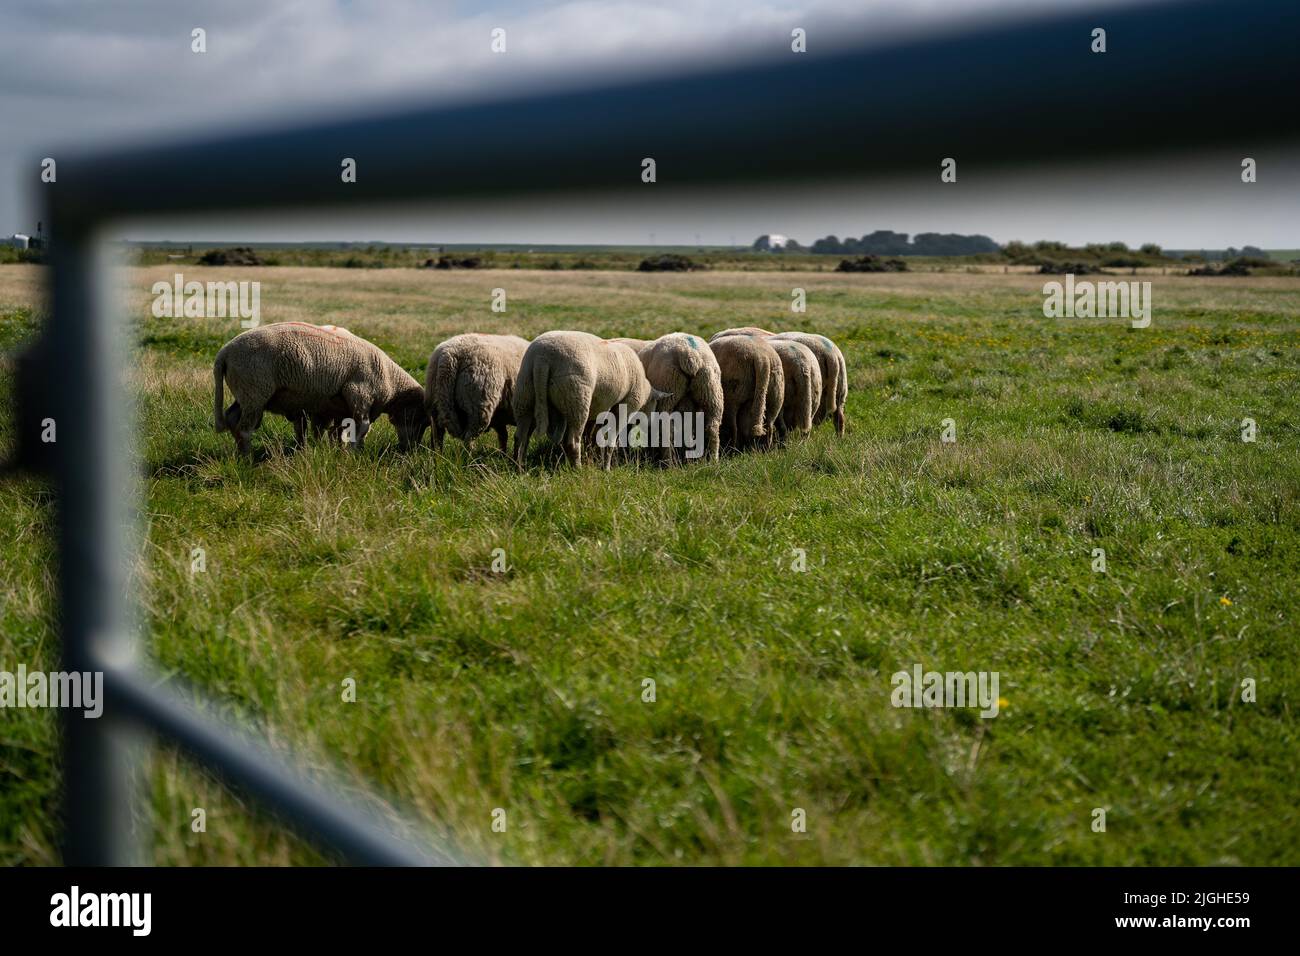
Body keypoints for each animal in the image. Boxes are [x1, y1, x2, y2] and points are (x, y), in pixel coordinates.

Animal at [213, 321, 427, 456]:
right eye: (418, 418)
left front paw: (338, 450)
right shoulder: (359, 394)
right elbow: (363, 427)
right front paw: (355, 453)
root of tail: (224, 352)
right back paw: (247, 457)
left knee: (232, 418)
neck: (391, 382)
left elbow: (337, 432)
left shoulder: (339, 408)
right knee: (244, 428)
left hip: (245, 393)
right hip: (255, 391)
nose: (411, 450)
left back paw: (239, 453)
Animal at [512, 331, 669, 468]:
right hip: (576, 398)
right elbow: (611, 440)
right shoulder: (626, 406)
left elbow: (596, 436)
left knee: (520, 436)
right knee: (572, 442)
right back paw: (577, 469)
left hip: (525, 393)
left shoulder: (602, 408)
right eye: (655, 404)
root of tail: (542, 358)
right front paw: (606, 467)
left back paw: (519, 468)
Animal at [636, 332, 724, 462]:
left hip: (668, 391)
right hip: (711, 392)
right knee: (712, 427)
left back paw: (668, 462)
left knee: (666, 430)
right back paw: (712, 459)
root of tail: (689, 354)